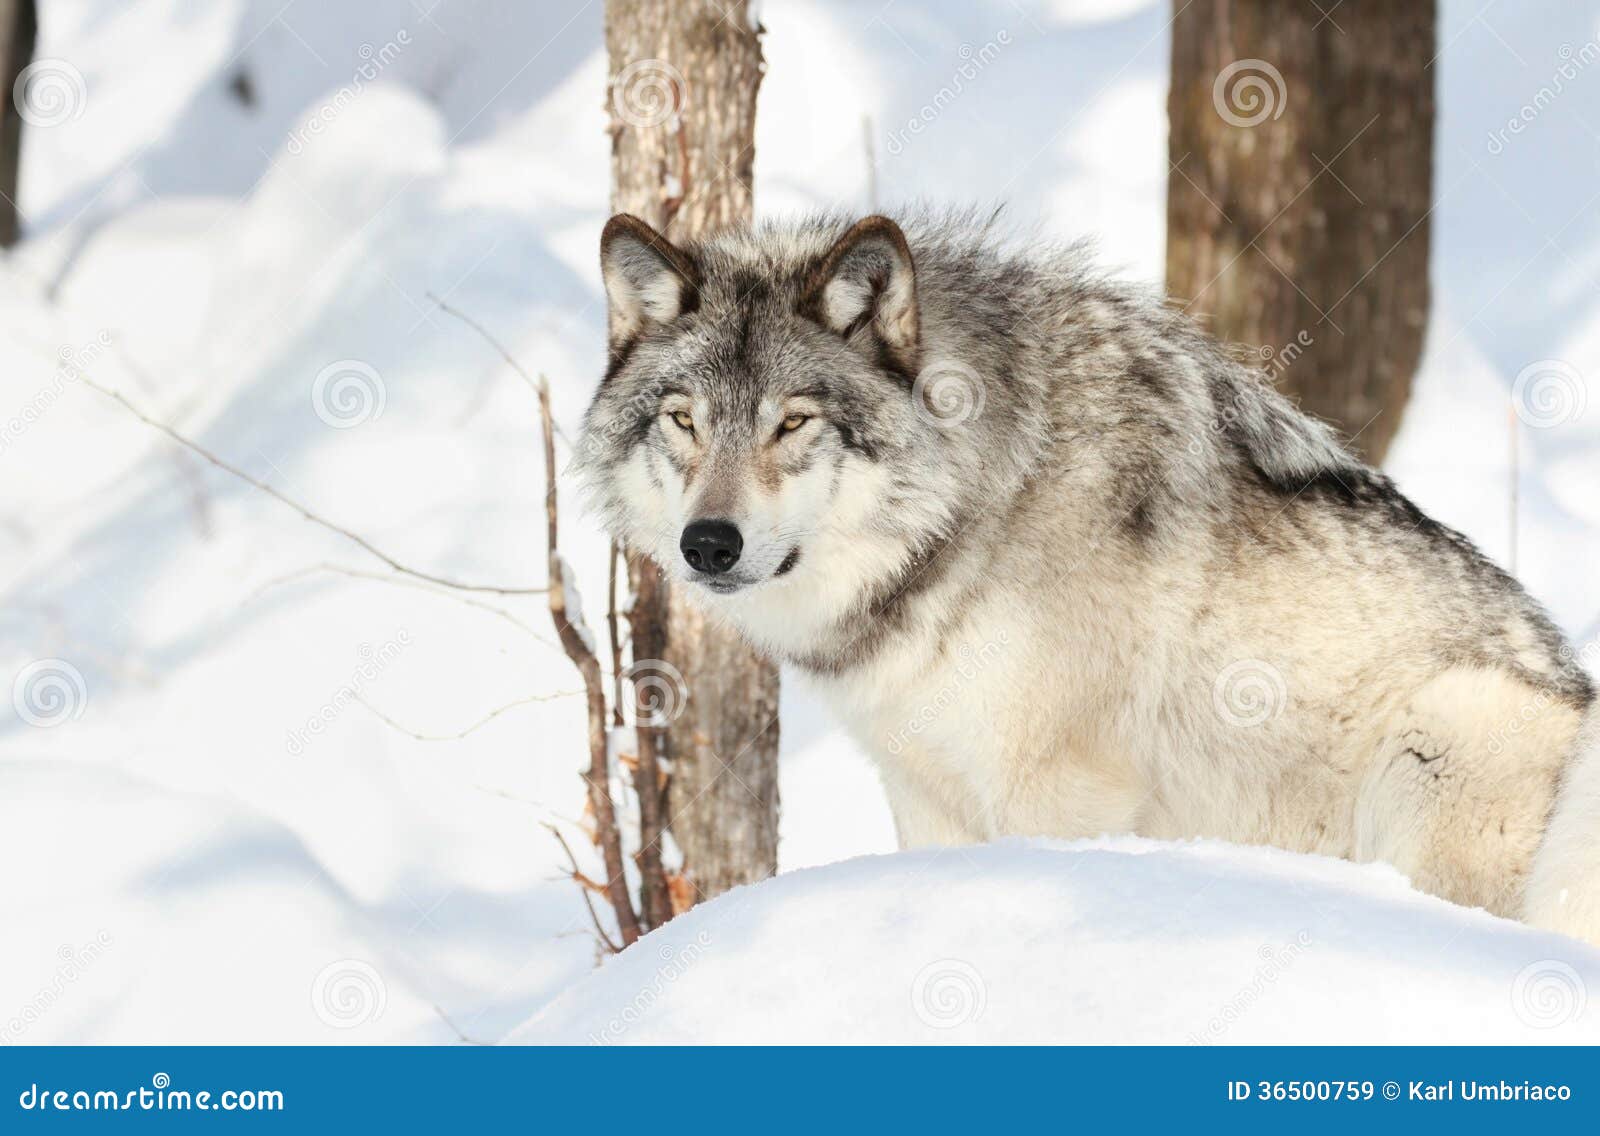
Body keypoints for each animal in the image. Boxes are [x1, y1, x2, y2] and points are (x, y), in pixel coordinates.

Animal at [577, 208, 1600, 946]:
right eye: (682, 419)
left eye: (793, 423)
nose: (709, 544)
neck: (970, 519)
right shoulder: (925, 793)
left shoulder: (1056, 794)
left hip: (1445, 737)